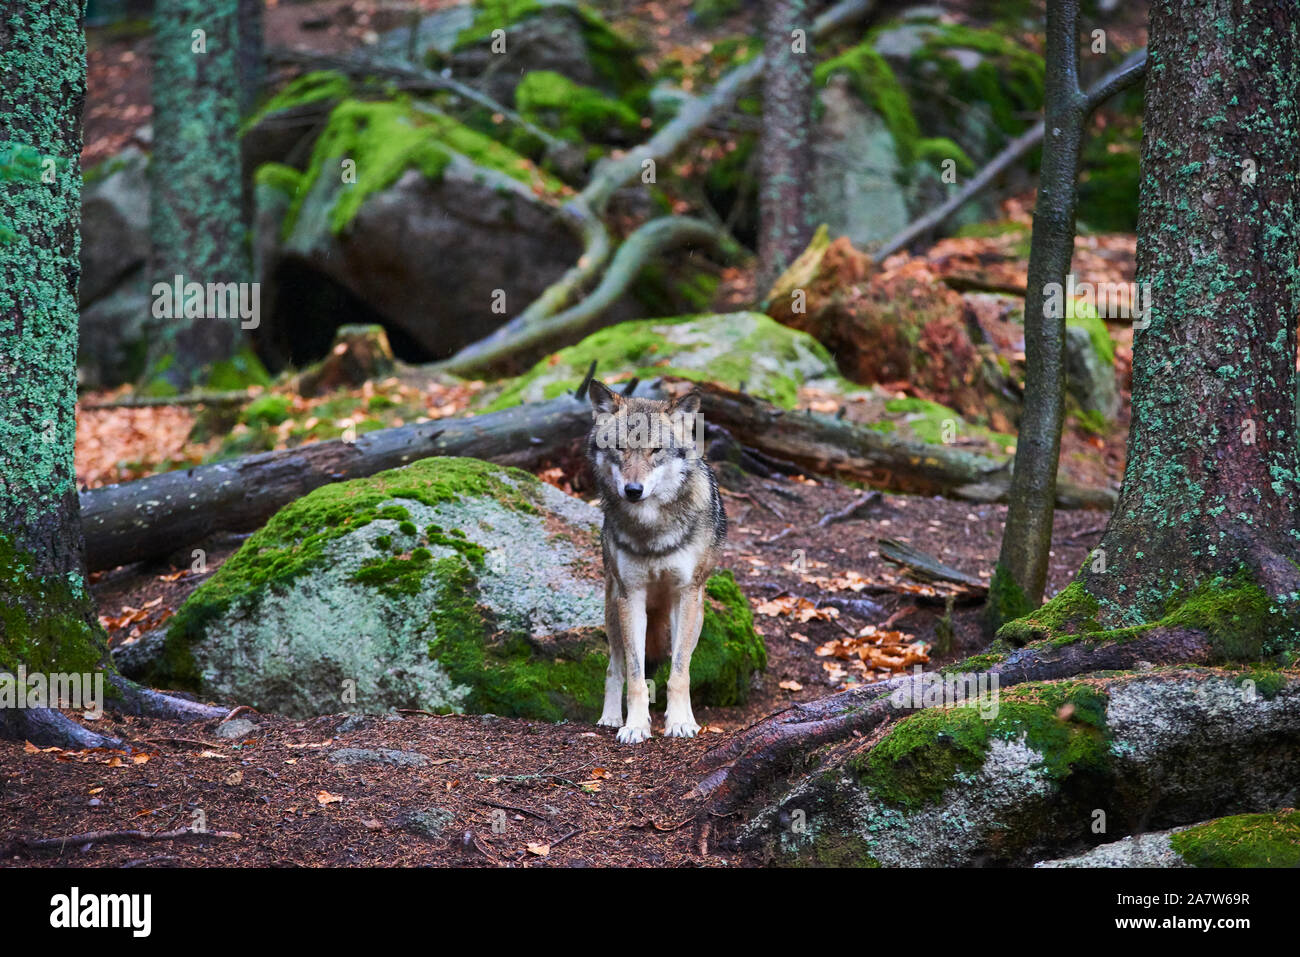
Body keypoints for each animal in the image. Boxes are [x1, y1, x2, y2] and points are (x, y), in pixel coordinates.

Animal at [586, 380, 726, 743]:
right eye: (620, 448)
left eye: (656, 451)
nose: (633, 490)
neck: (652, 530)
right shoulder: (631, 596)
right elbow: (635, 675)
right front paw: (635, 726)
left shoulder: (685, 594)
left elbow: (679, 673)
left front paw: (680, 723)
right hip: (612, 608)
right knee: (614, 666)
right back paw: (609, 718)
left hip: (695, 611)